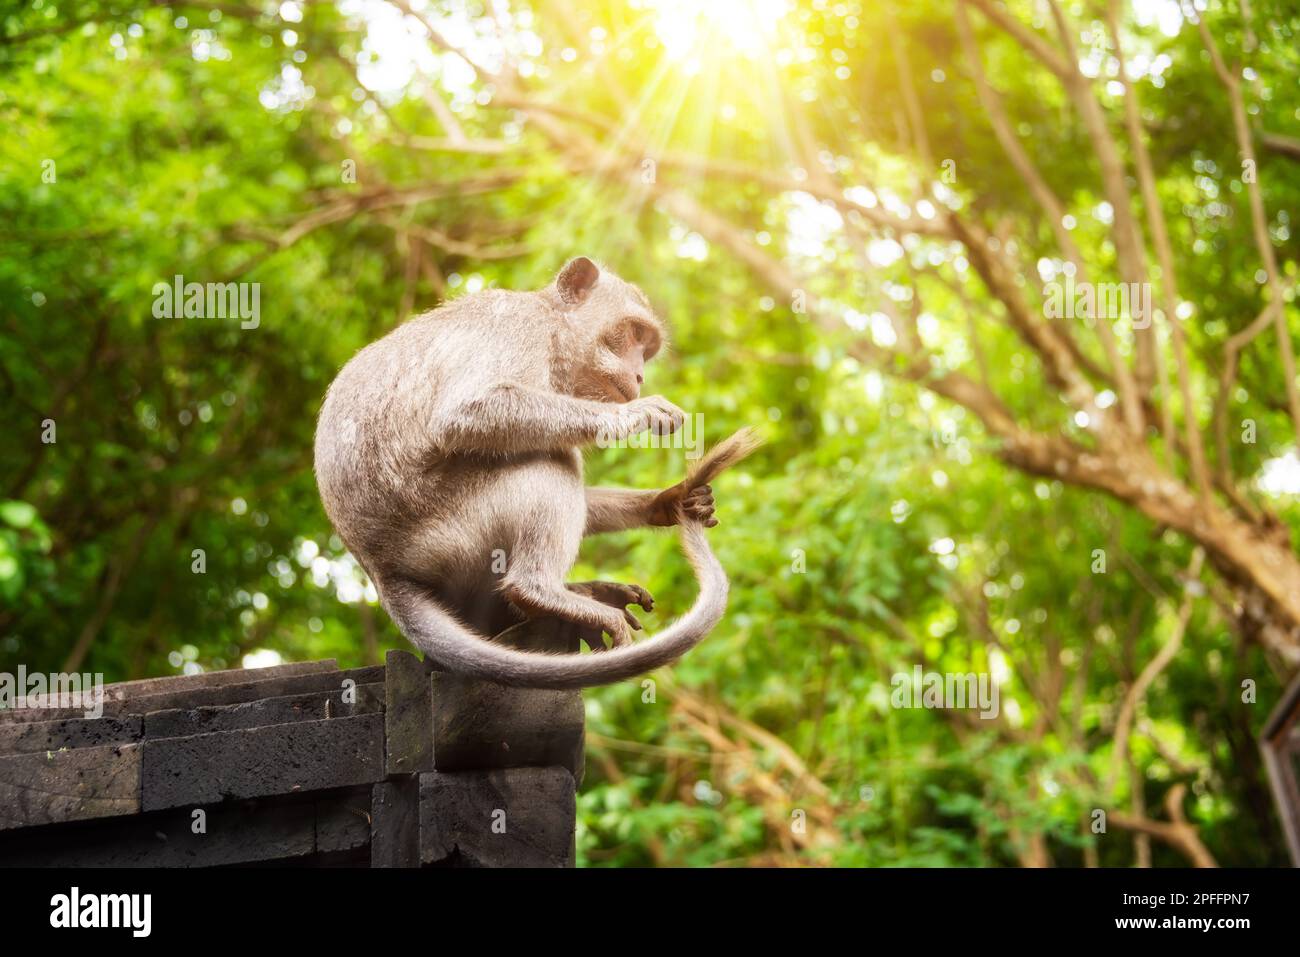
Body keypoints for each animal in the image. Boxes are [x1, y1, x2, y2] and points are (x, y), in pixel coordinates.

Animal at [314, 256, 760, 689]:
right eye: (632, 332)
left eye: (647, 347)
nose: (639, 375)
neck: (552, 327)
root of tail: (384, 572)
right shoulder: (519, 326)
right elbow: (469, 410)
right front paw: (638, 413)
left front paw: (668, 501)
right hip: (446, 530)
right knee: (550, 458)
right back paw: (539, 591)